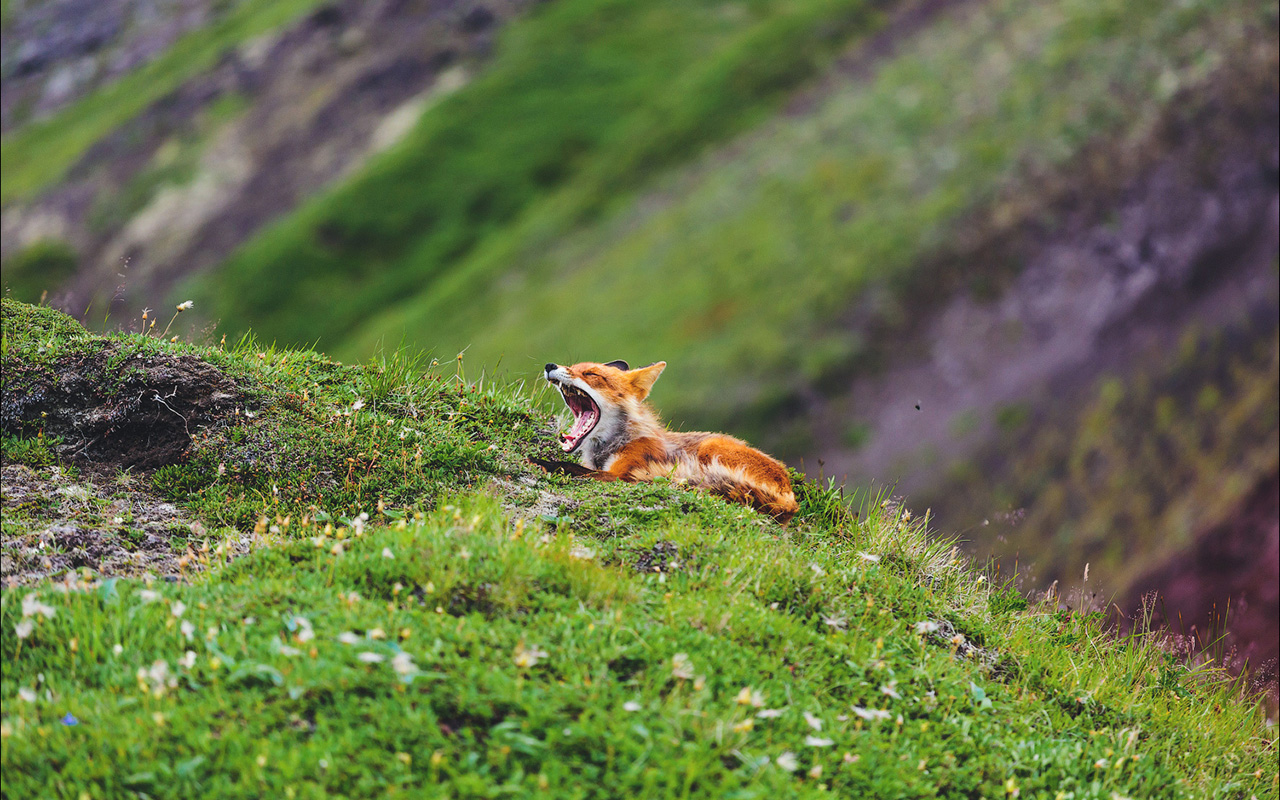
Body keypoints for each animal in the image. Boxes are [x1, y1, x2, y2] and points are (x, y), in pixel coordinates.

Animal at [533, 360, 798, 523]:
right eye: (573, 366)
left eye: (591, 374)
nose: (550, 365)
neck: (610, 446)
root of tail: (790, 499)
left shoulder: (621, 474)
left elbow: (572, 468)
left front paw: (543, 462)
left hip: (711, 447)